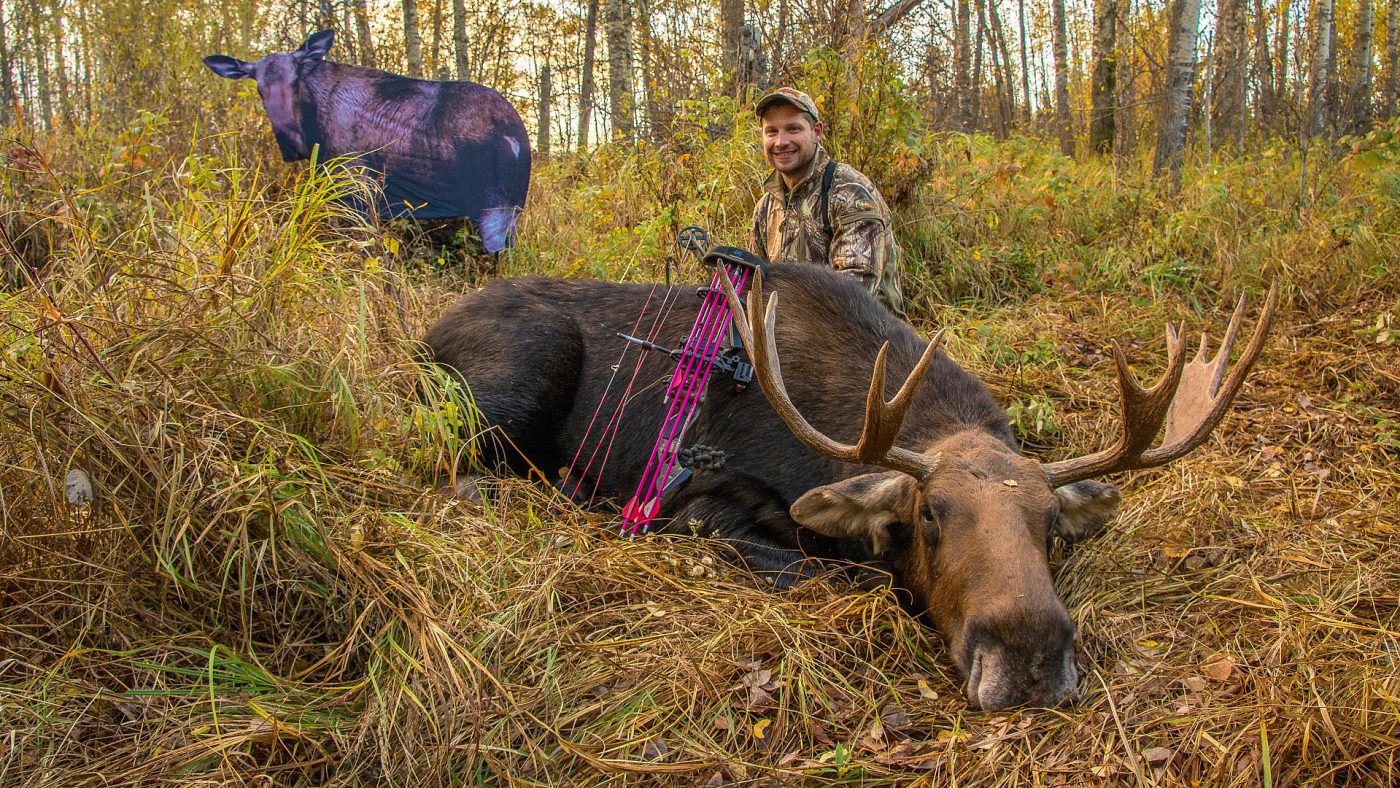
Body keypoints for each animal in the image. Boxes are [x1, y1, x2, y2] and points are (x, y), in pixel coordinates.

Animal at [204, 30, 530, 253]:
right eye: (258, 87)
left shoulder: (356, 182)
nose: (289, 142)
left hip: (493, 208)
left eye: (295, 80)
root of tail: (517, 136)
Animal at [421, 260, 1276, 710]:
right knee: (460, 474)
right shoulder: (695, 502)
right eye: (931, 513)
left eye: (1049, 525)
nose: (1030, 653)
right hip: (524, 375)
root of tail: (427, 330)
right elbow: (834, 574)